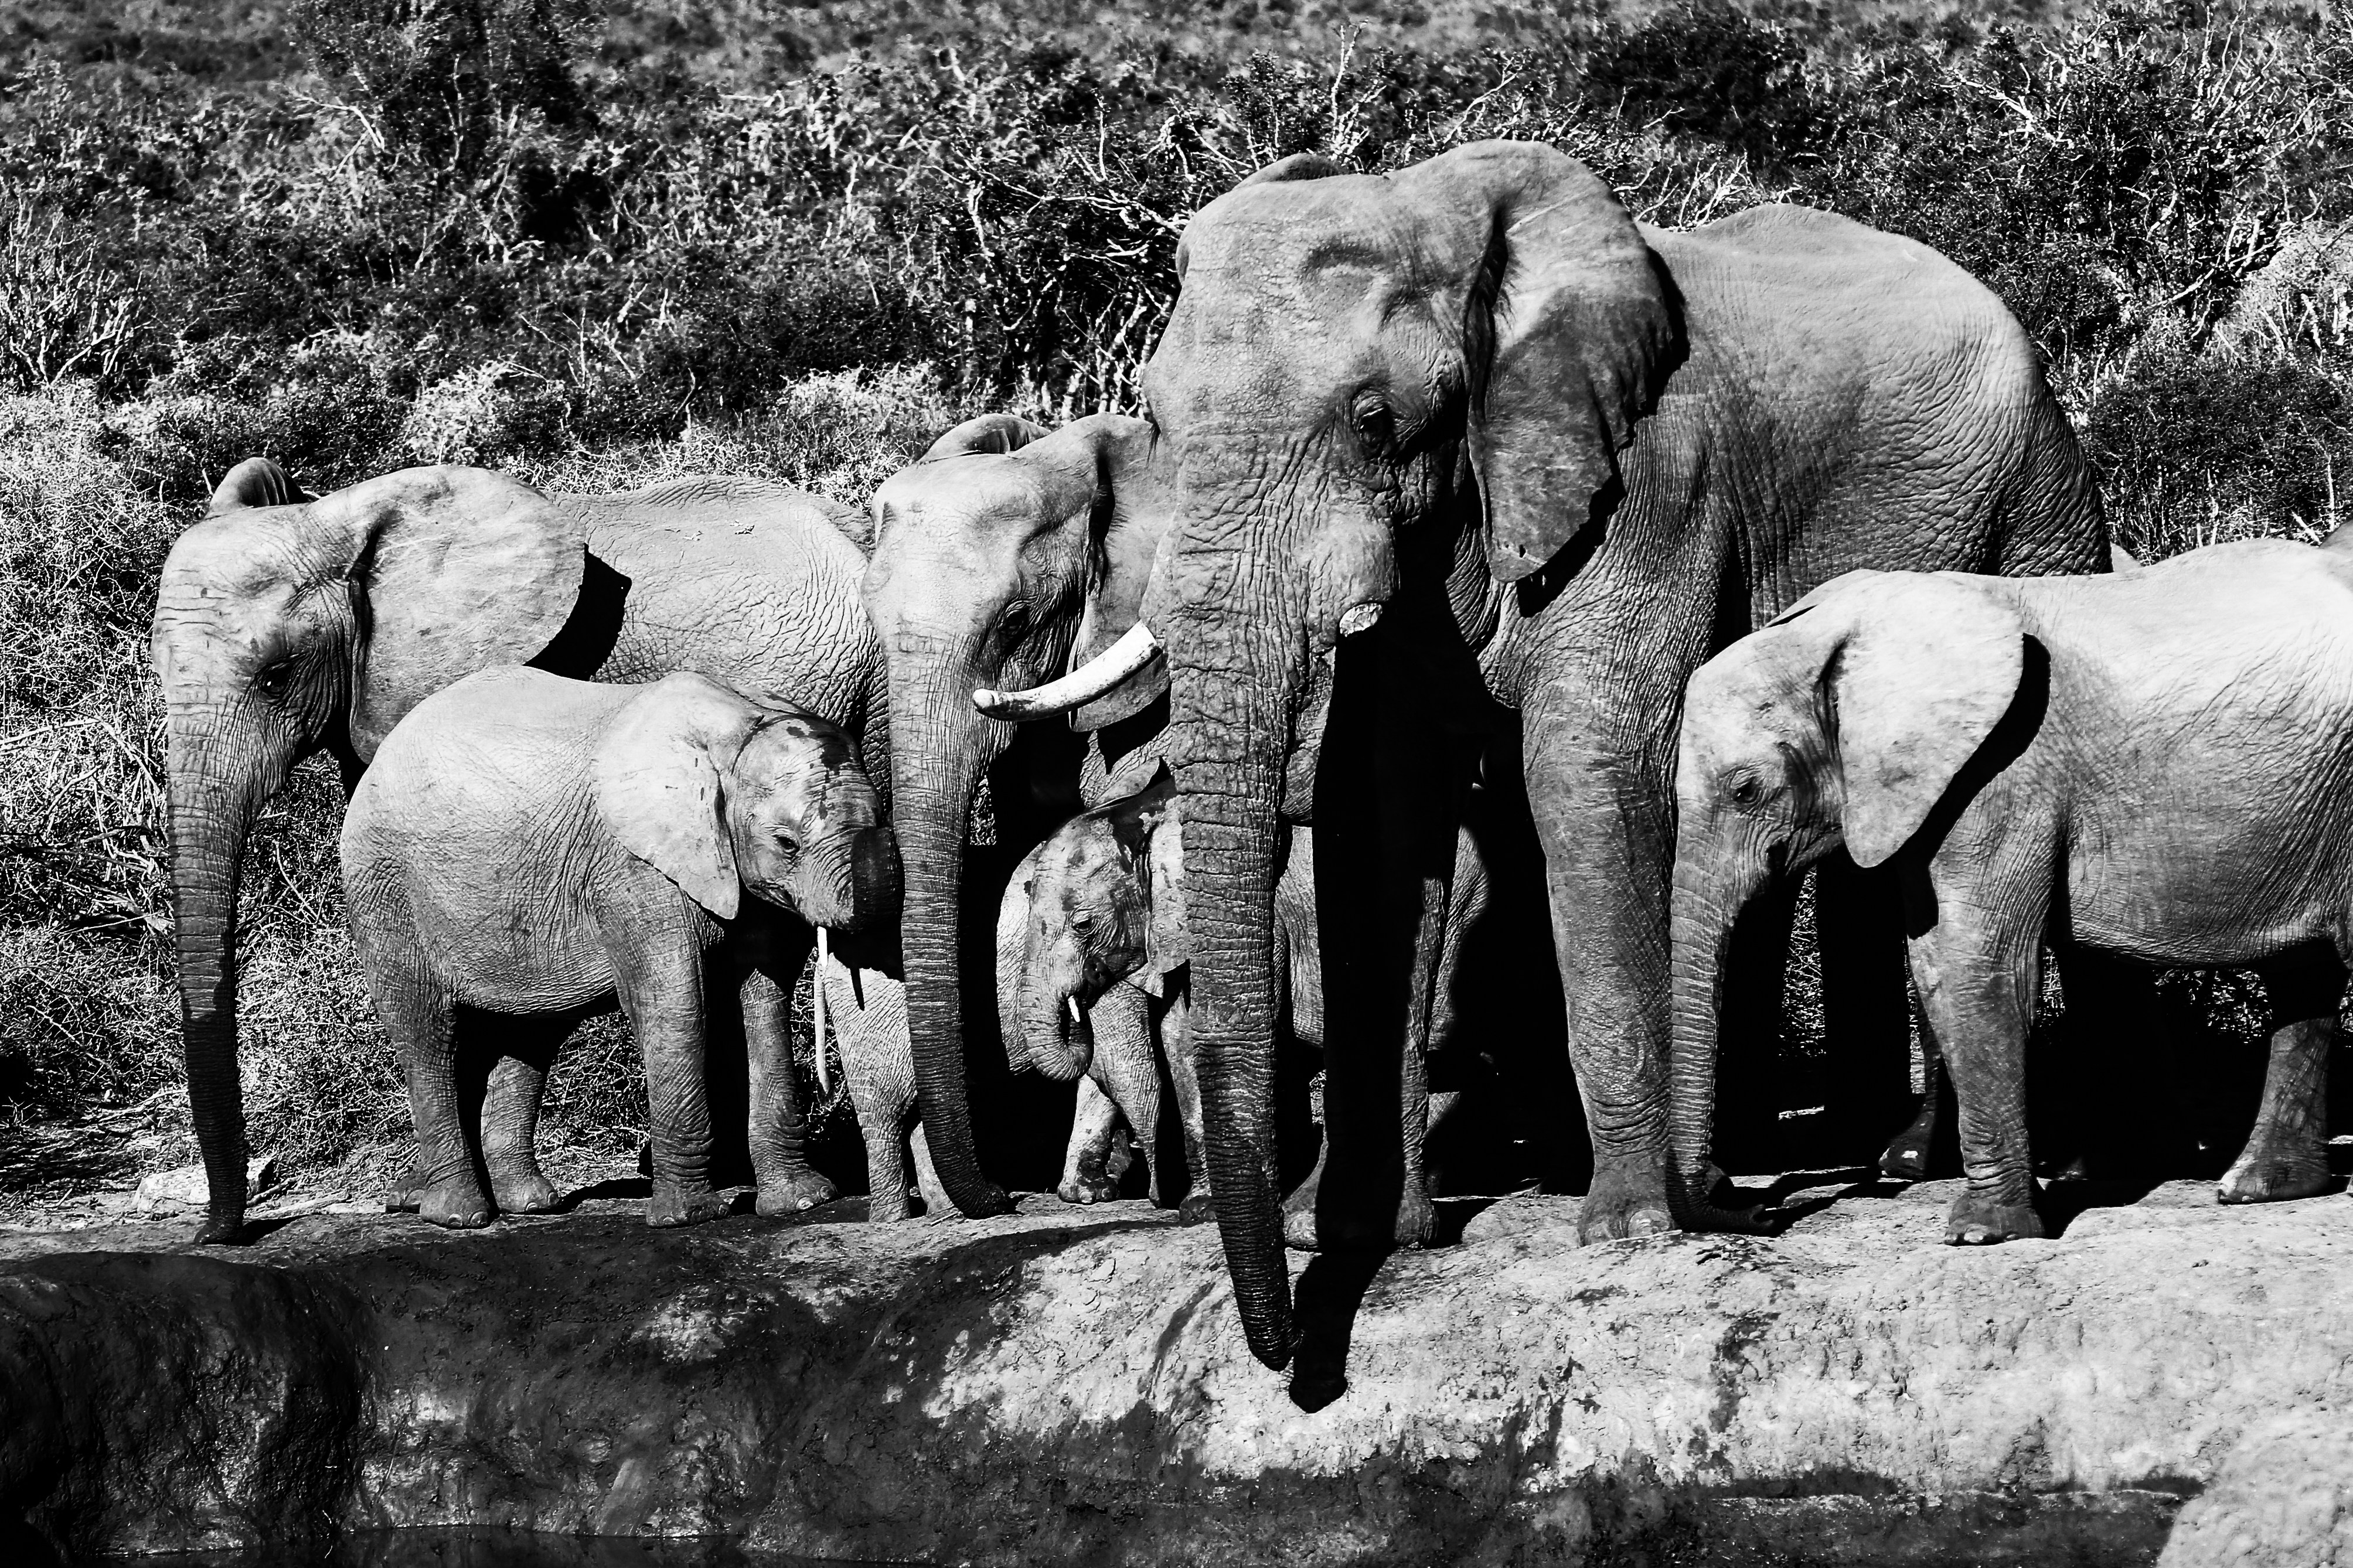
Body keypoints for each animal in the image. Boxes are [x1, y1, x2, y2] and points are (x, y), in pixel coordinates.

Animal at [340, 668, 897, 1229]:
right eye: (786, 844)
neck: (740, 727)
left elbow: (764, 1001)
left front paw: (803, 1202)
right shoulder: (634, 869)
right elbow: (675, 1003)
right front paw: (690, 1217)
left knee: (528, 1035)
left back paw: (529, 1204)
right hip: (385, 888)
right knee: (428, 1032)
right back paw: (460, 1215)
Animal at [993, 140, 2114, 1370]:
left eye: (1375, 420)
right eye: (1158, 419)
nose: (1284, 1353)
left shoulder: (1646, 489)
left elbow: (1587, 782)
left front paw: (1626, 1228)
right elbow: (1388, 821)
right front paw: (1350, 1230)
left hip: (2047, 499)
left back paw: (1932, 1166)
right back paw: (1778, 1170)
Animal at [1668, 542, 2353, 1243]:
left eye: (1745, 789)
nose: (1753, 1205)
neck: (1851, 630)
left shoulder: (2002, 774)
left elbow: (1978, 964)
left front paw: (1980, 1233)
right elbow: (1935, 965)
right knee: (2306, 977)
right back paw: (2258, 1187)